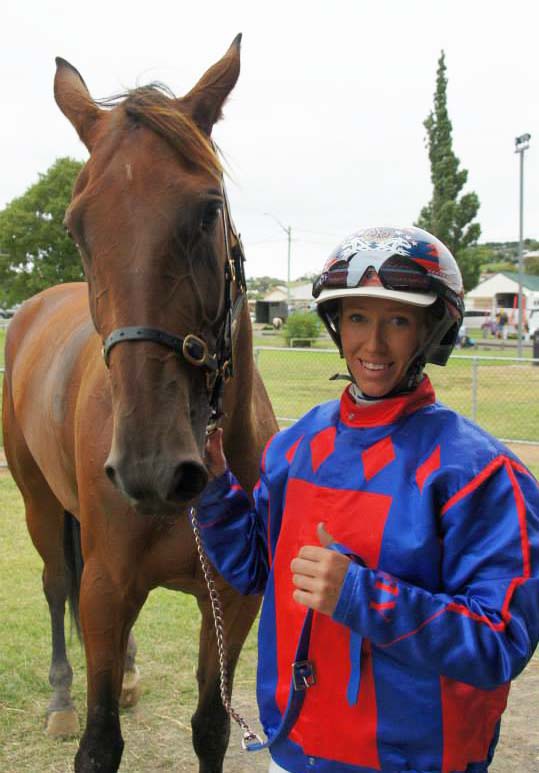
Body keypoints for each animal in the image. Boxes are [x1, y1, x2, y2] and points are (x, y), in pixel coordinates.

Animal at [2, 35, 277, 772]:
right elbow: (100, 745)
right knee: (55, 585)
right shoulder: (103, 588)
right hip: (41, 506)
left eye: (208, 209)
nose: (151, 468)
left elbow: (211, 727)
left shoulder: (233, 601)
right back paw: (60, 697)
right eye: (77, 227)